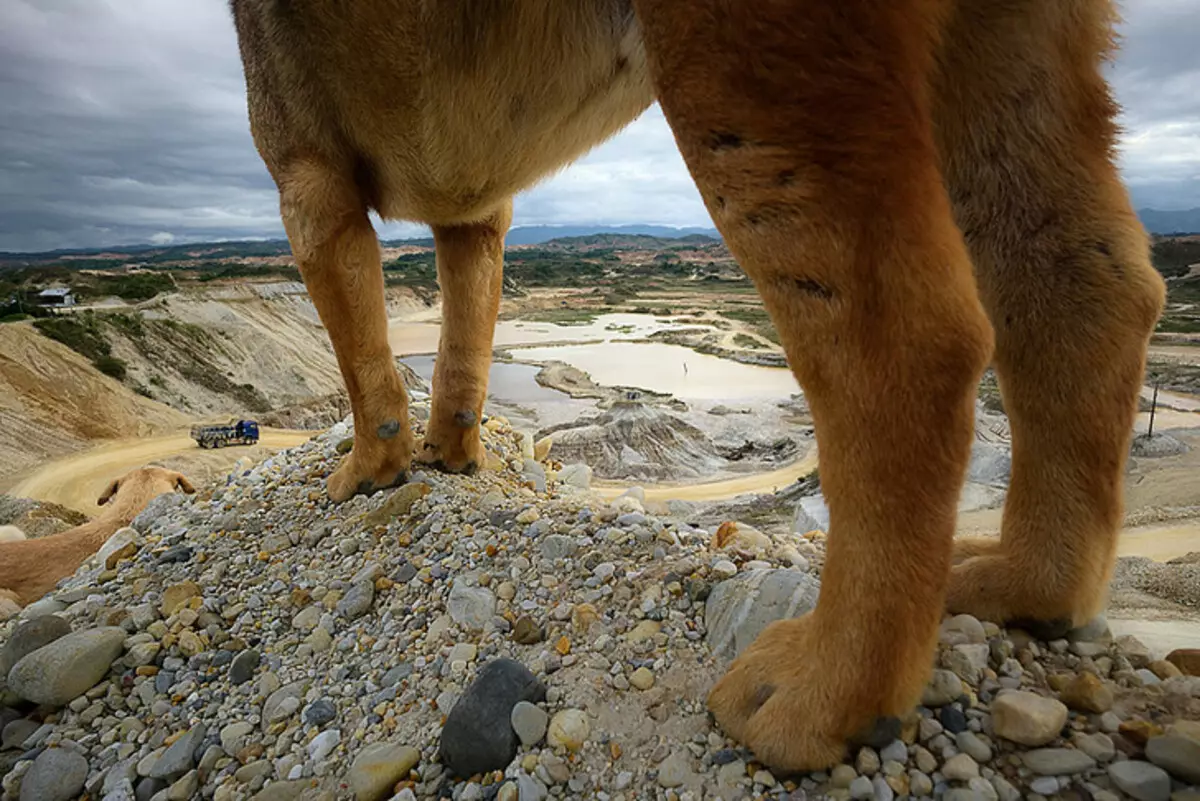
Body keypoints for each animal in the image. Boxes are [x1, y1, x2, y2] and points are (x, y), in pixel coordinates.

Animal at [231, 1, 1161, 767]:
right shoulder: (474, 206)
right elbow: (463, 343)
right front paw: (451, 452)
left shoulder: (306, 179)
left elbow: (364, 361)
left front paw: (371, 469)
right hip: (1005, 56)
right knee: (1084, 286)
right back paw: (1028, 583)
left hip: (745, 61)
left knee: (904, 343)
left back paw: (833, 690)